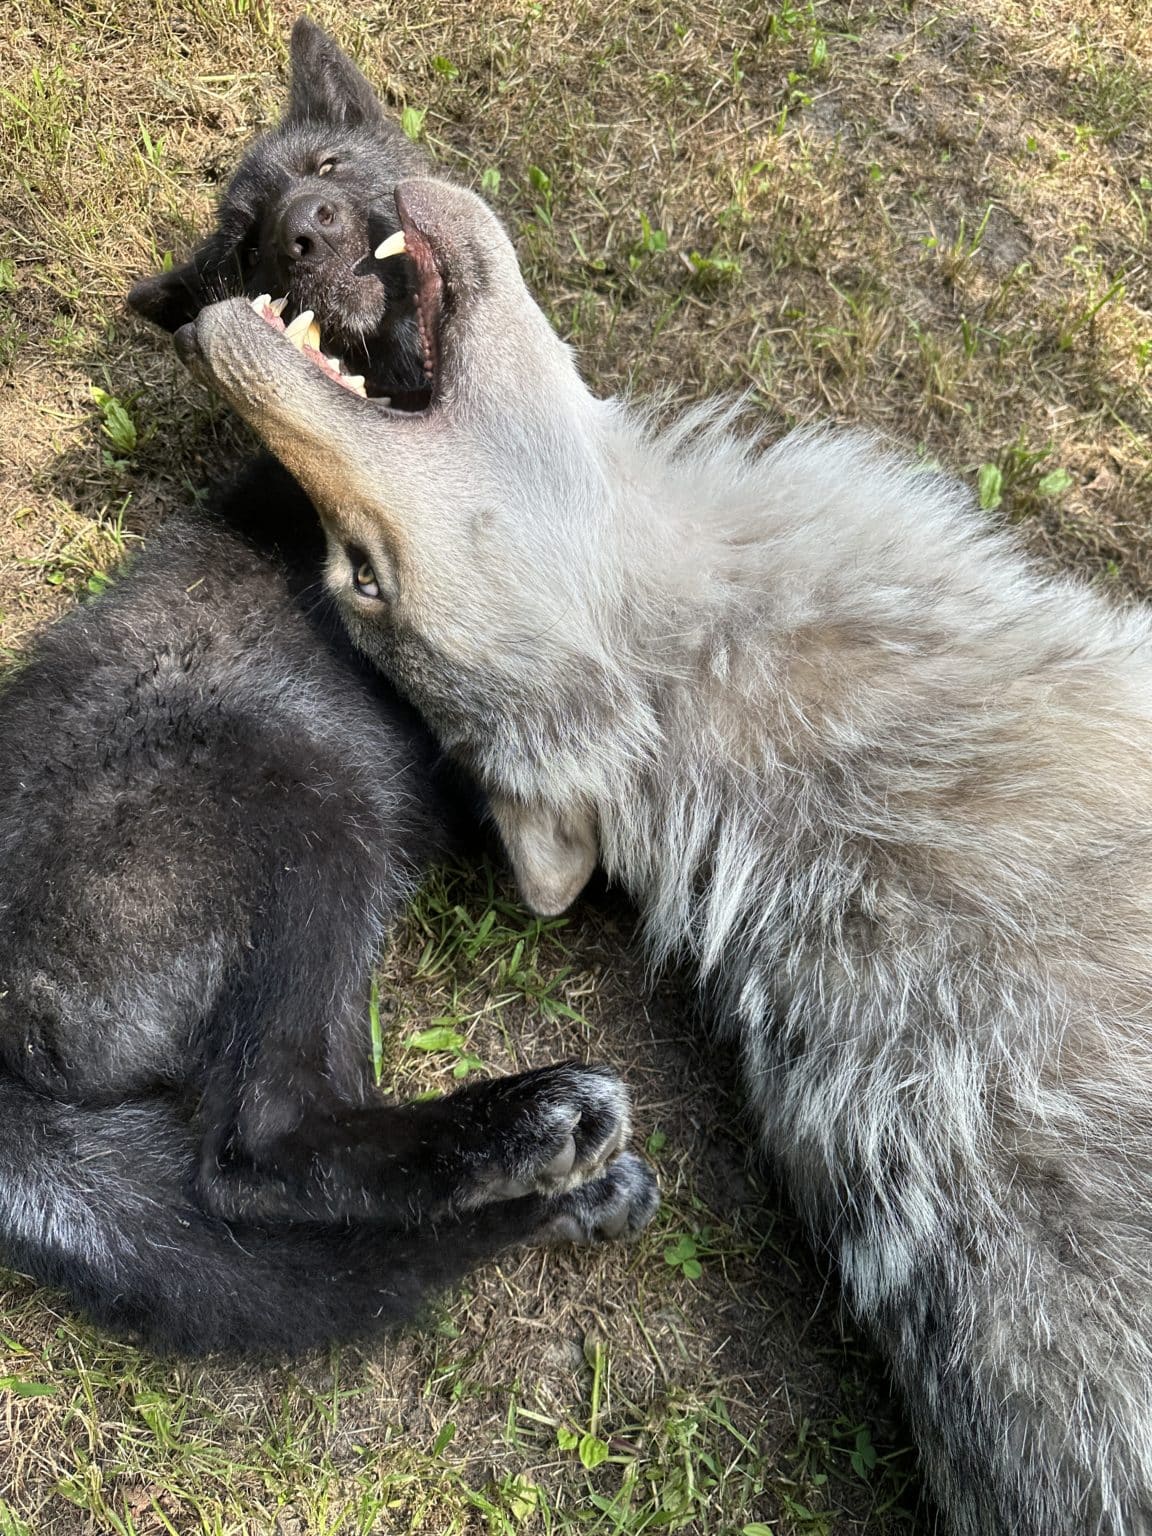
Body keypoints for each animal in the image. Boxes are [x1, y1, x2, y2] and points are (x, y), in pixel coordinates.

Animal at [0, 33, 658, 1357]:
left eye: (326, 170)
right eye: (247, 240)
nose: (304, 233)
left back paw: (560, 1192)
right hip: (311, 801)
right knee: (261, 1147)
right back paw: (526, 1126)